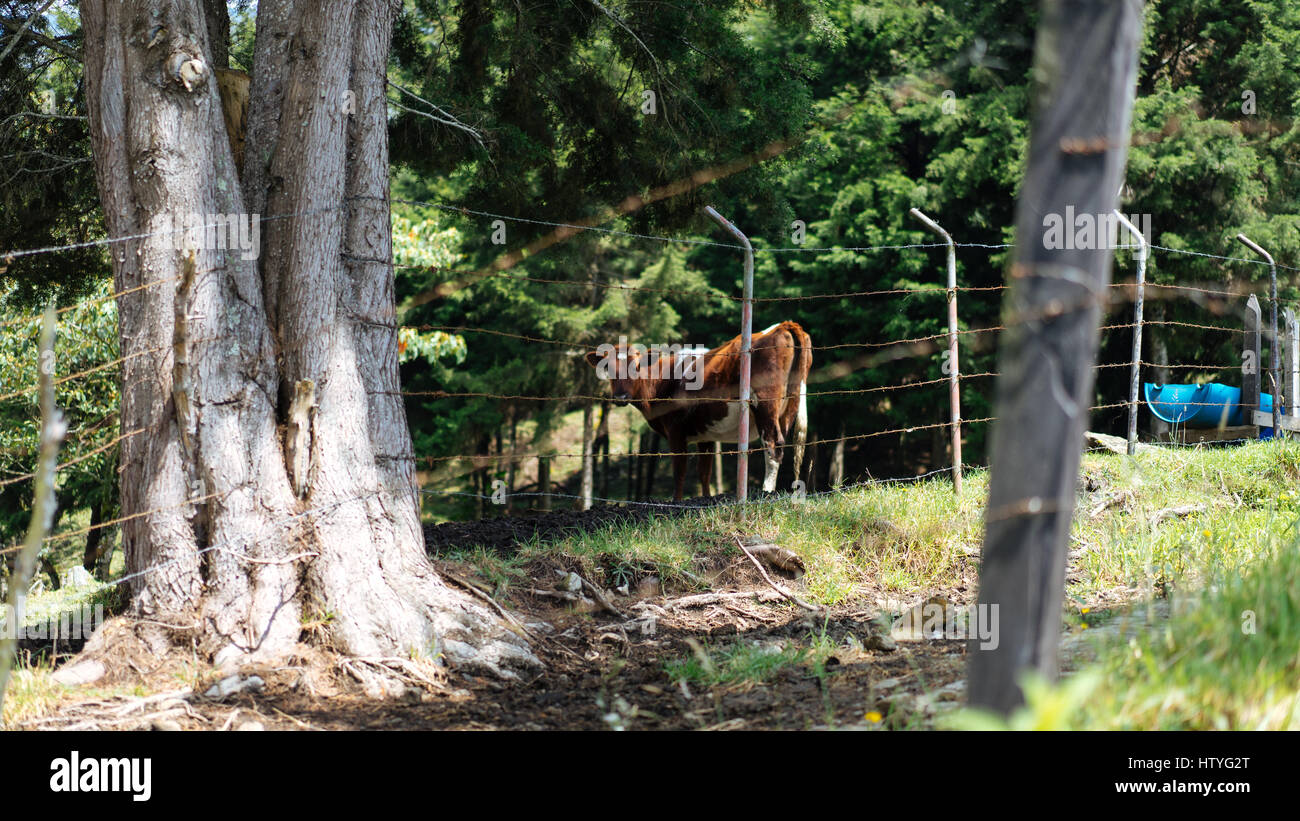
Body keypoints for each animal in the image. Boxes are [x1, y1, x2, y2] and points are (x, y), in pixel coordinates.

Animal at [585, 321, 812, 501]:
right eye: (607, 368)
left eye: (637, 366)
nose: (620, 397)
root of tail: (782, 326)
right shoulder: (706, 435)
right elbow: (704, 473)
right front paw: (705, 498)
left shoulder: (675, 431)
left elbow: (680, 471)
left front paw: (676, 501)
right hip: (790, 403)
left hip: (765, 403)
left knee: (773, 444)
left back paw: (767, 491)